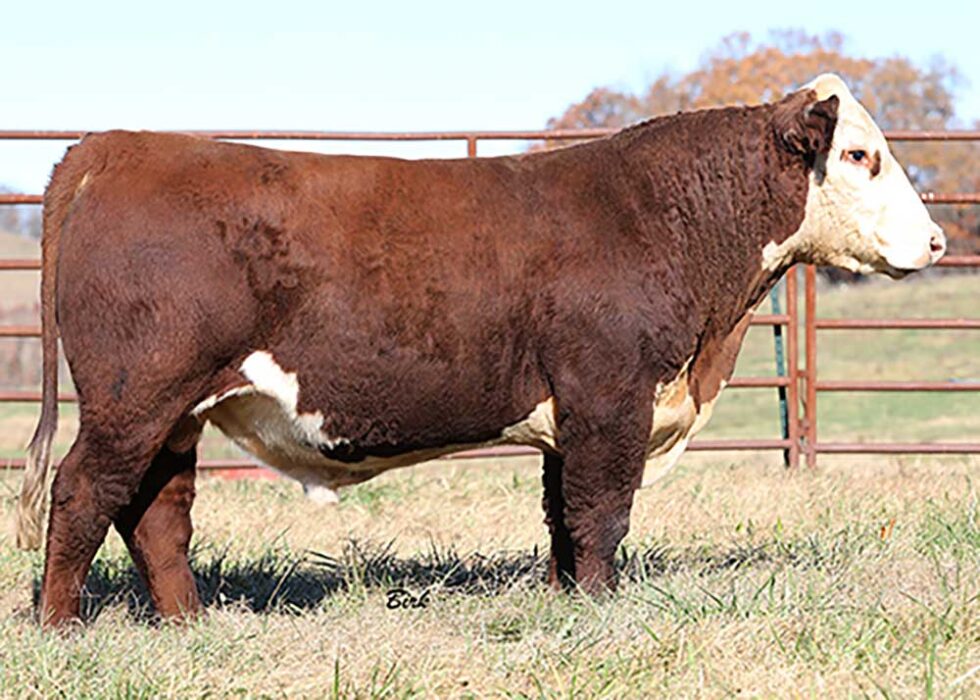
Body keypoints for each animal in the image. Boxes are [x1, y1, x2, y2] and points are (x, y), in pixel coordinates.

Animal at [16, 74, 945, 625]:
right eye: (859, 154)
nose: (937, 241)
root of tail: (117, 145)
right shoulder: (610, 397)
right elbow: (602, 512)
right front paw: (601, 612)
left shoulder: (573, 412)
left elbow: (563, 516)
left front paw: (566, 603)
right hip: (135, 396)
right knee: (84, 492)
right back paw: (59, 627)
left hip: (177, 408)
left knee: (156, 513)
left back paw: (189, 622)